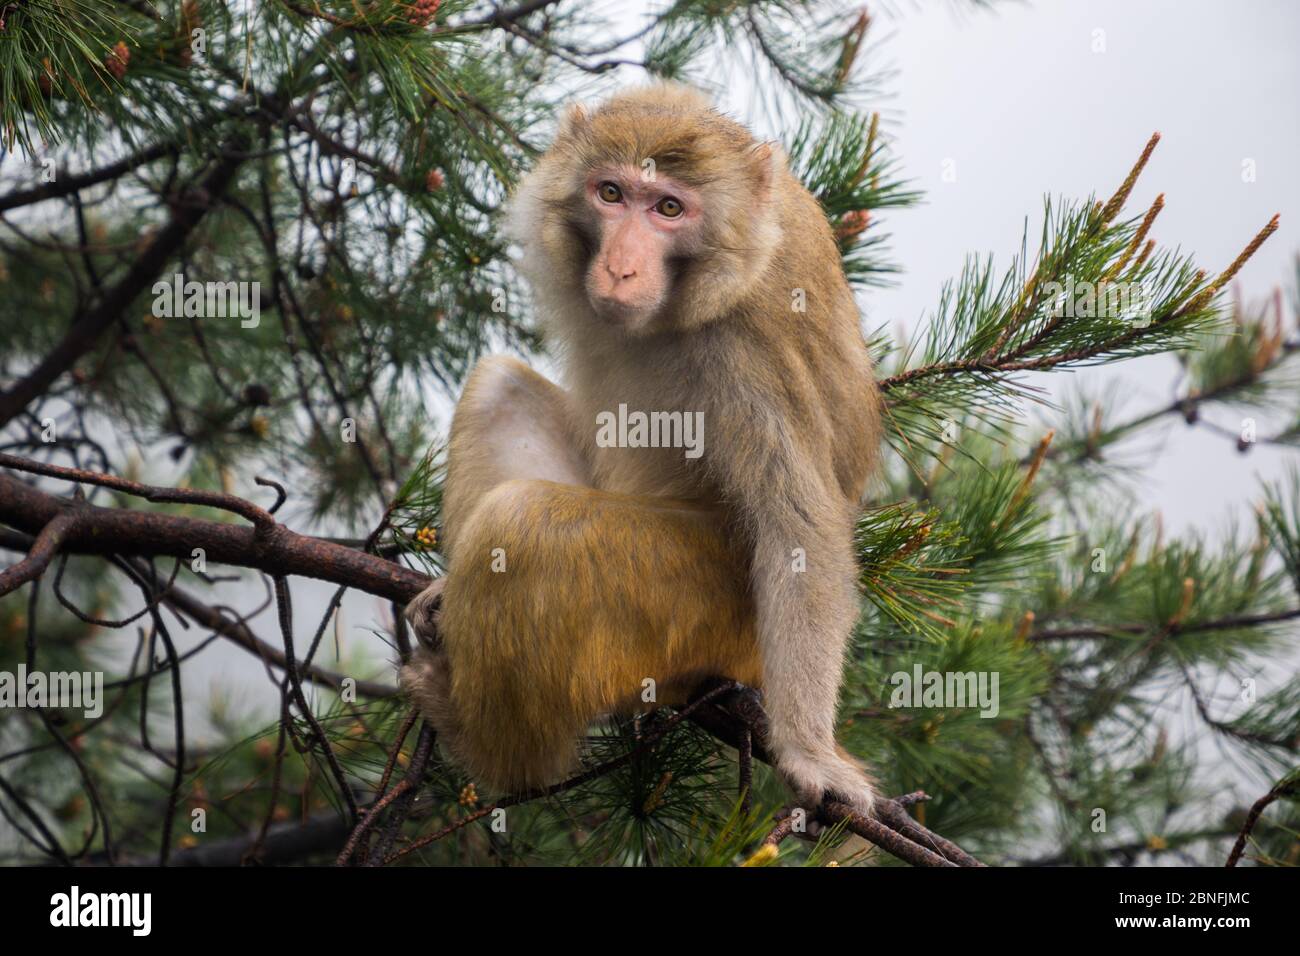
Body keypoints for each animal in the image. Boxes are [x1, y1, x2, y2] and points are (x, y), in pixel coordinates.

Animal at [402, 83, 881, 817]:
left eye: (668, 209)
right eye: (610, 193)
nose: (621, 266)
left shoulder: (755, 344)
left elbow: (797, 529)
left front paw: (811, 755)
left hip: (708, 611)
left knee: (524, 528)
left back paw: (497, 756)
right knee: (498, 388)